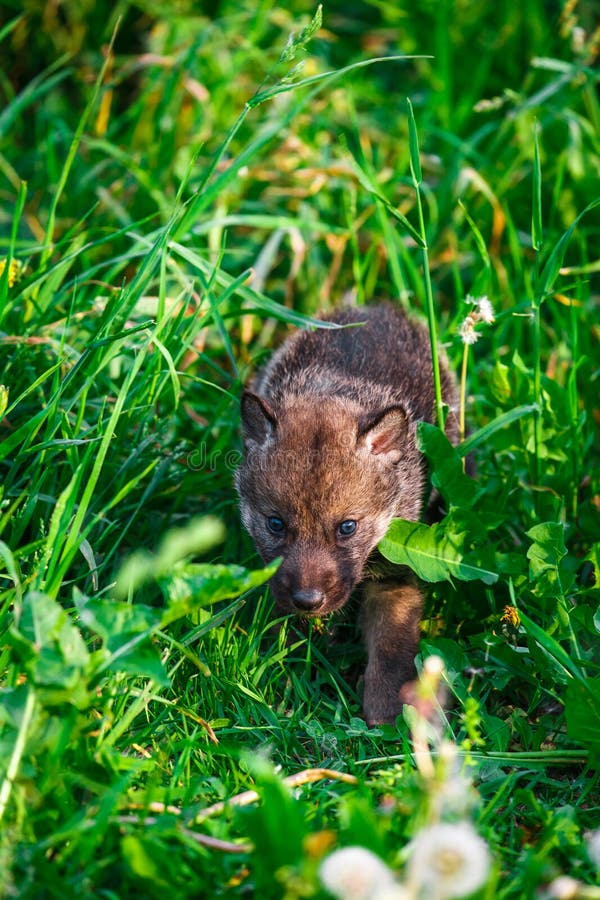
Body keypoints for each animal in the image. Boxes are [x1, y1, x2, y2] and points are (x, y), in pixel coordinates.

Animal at [235, 304, 458, 724]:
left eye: (347, 527)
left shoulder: (395, 574)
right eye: (276, 524)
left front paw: (390, 713)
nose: (308, 600)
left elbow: (392, 645)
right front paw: (279, 680)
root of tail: (379, 307)